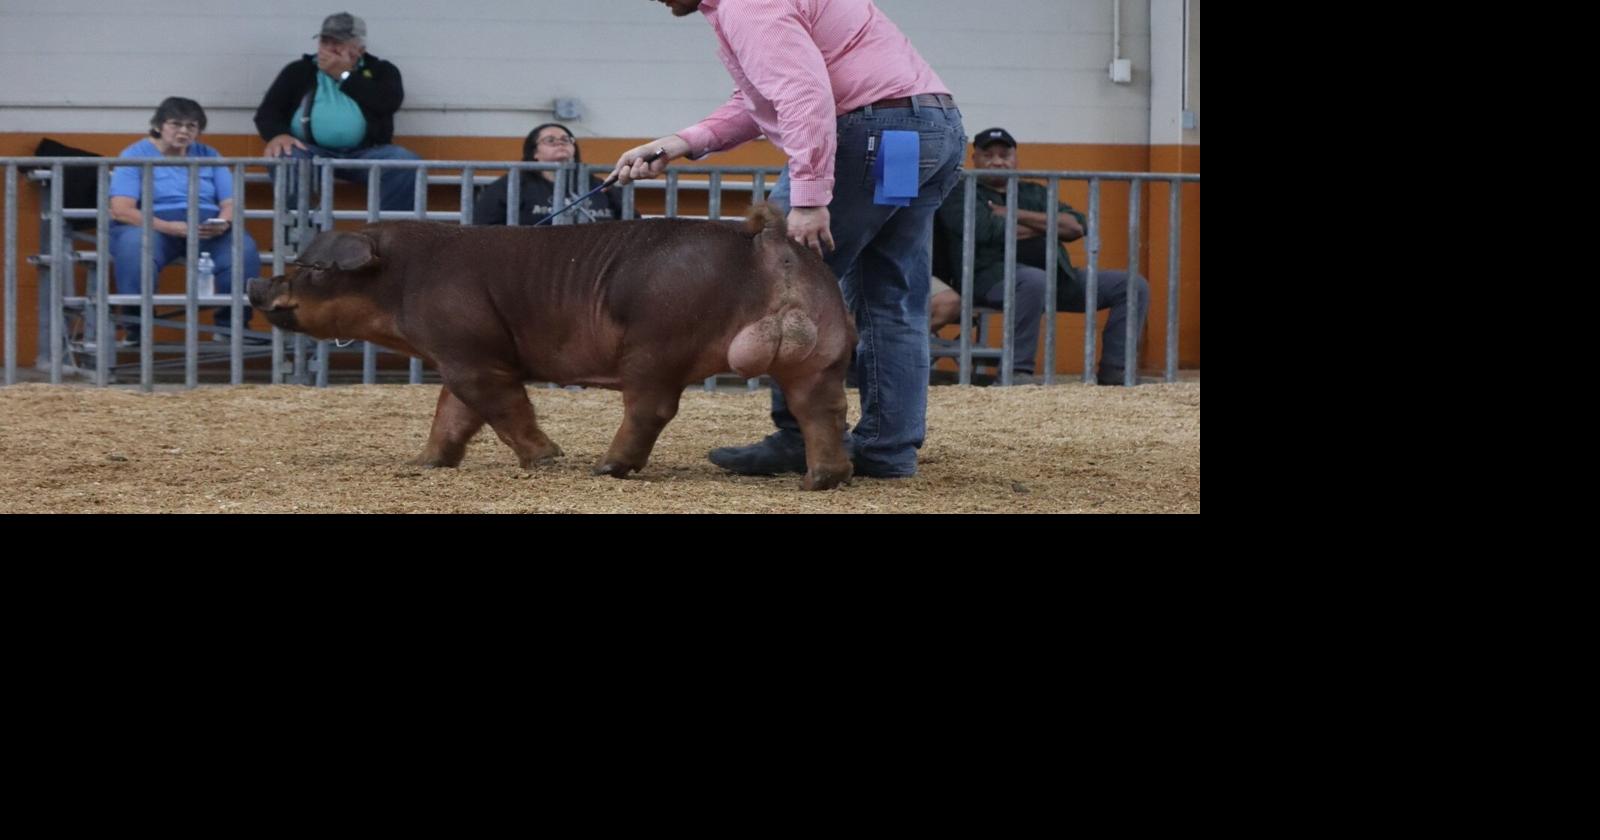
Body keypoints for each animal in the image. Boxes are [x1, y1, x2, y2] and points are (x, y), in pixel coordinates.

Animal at [246, 205, 857, 490]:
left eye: (312, 268)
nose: (255, 283)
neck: (400, 281)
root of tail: (768, 243)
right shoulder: (460, 354)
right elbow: (452, 414)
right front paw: (424, 463)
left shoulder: (470, 354)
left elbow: (500, 406)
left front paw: (546, 458)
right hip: (823, 353)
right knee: (822, 410)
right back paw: (821, 480)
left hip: (657, 343)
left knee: (651, 408)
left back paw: (604, 469)